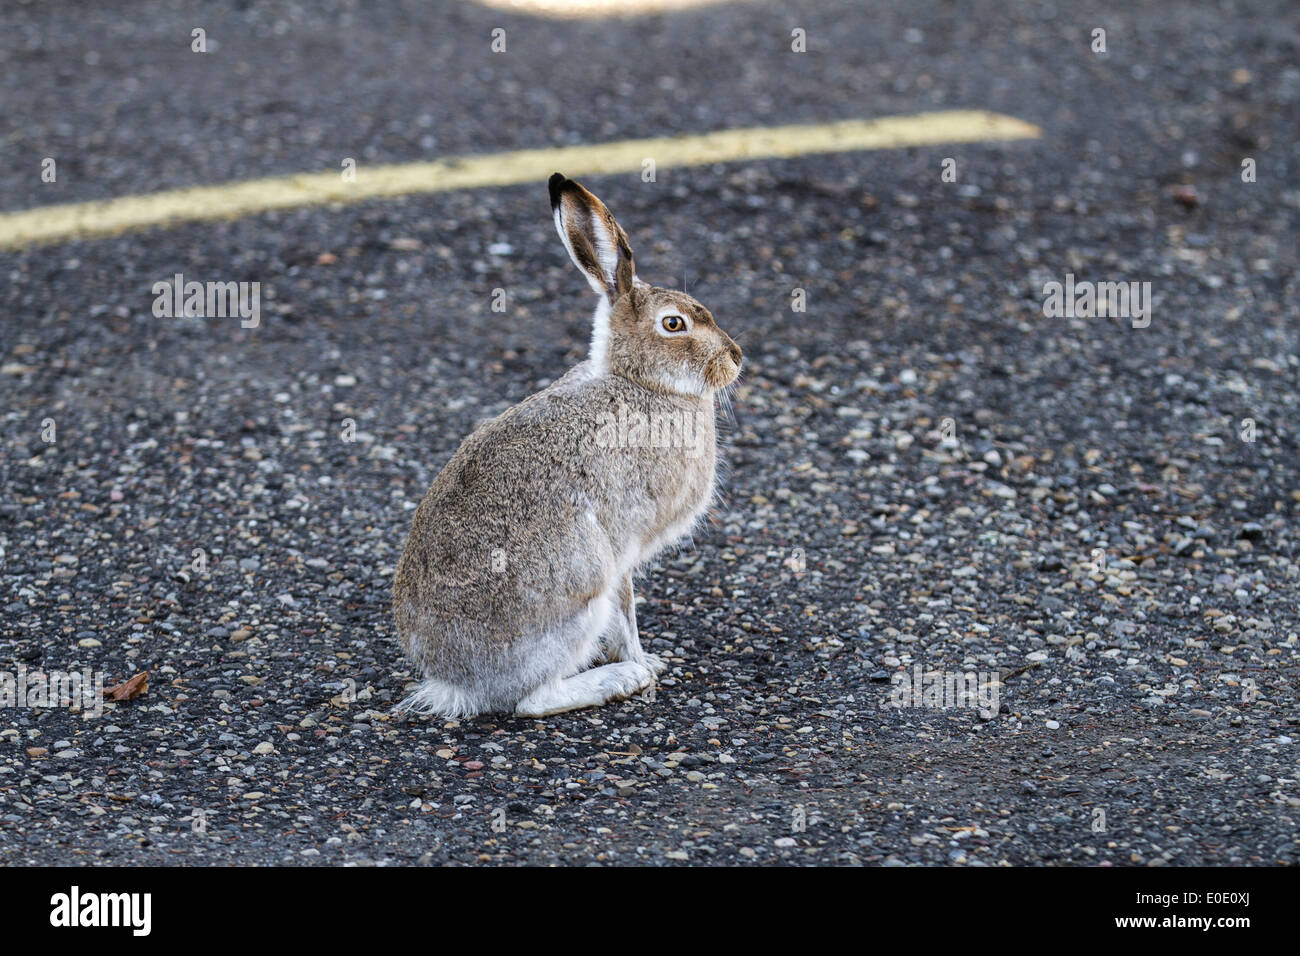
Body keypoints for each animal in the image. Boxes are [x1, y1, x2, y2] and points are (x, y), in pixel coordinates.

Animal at [392, 173, 742, 719]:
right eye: (674, 324)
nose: (736, 357)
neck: (639, 382)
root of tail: (457, 682)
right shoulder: (623, 545)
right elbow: (627, 610)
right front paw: (643, 661)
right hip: (580, 592)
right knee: (532, 701)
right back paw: (620, 679)